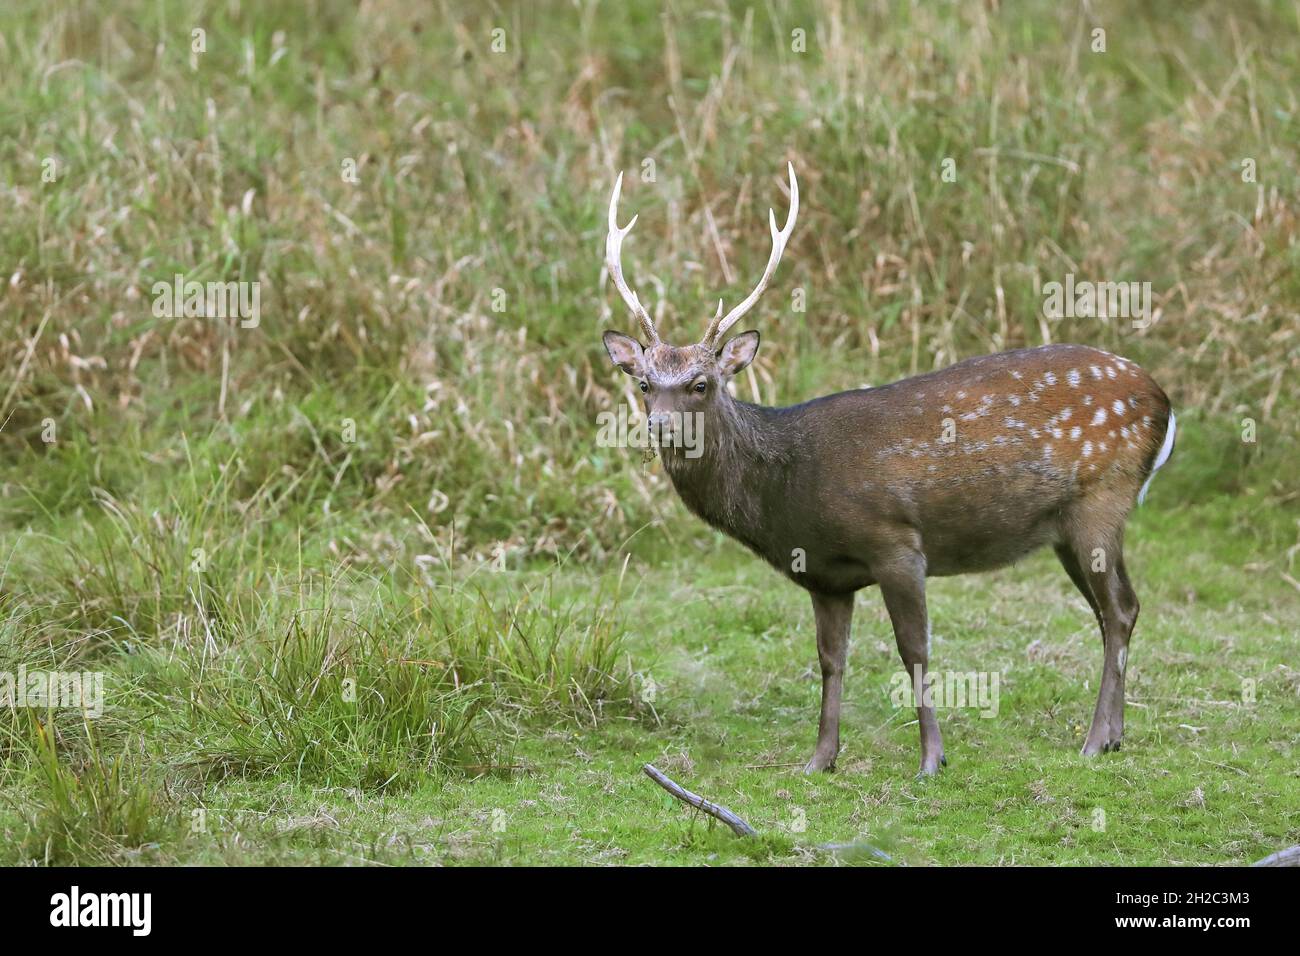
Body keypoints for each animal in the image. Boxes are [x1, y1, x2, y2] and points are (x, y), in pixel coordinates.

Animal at [600, 164, 1177, 776]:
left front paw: (931, 760)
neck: (789, 491)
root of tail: (1165, 403)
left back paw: (1095, 740)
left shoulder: (896, 542)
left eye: (701, 384)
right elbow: (831, 659)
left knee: (1120, 608)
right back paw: (1113, 736)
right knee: (1115, 610)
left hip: (1102, 499)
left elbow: (914, 650)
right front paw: (820, 758)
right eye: (644, 384)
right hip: (1067, 527)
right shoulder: (826, 575)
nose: (662, 426)